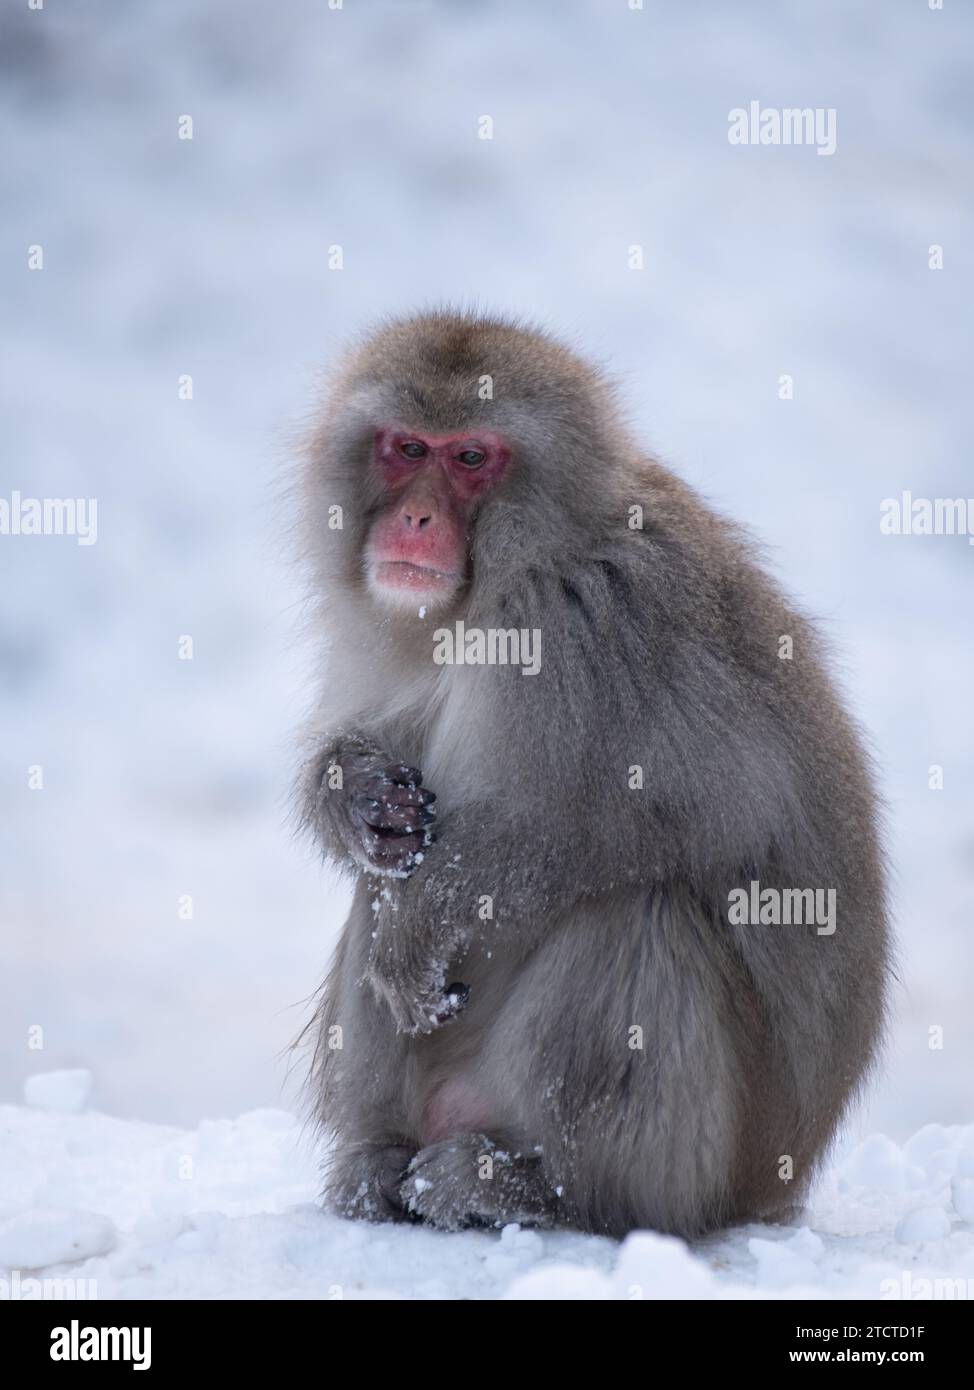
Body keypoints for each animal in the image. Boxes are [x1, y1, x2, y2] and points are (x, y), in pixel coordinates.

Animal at [295, 310, 889, 1239]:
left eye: (471, 457)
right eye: (406, 447)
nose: (416, 519)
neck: (512, 575)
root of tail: (777, 1179)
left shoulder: (583, 632)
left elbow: (599, 828)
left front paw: (419, 929)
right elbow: (384, 790)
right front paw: (355, 795)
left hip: (714, 1164)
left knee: (639, 911)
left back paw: (543, 1192)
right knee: (384, 882)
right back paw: (377, 1167)